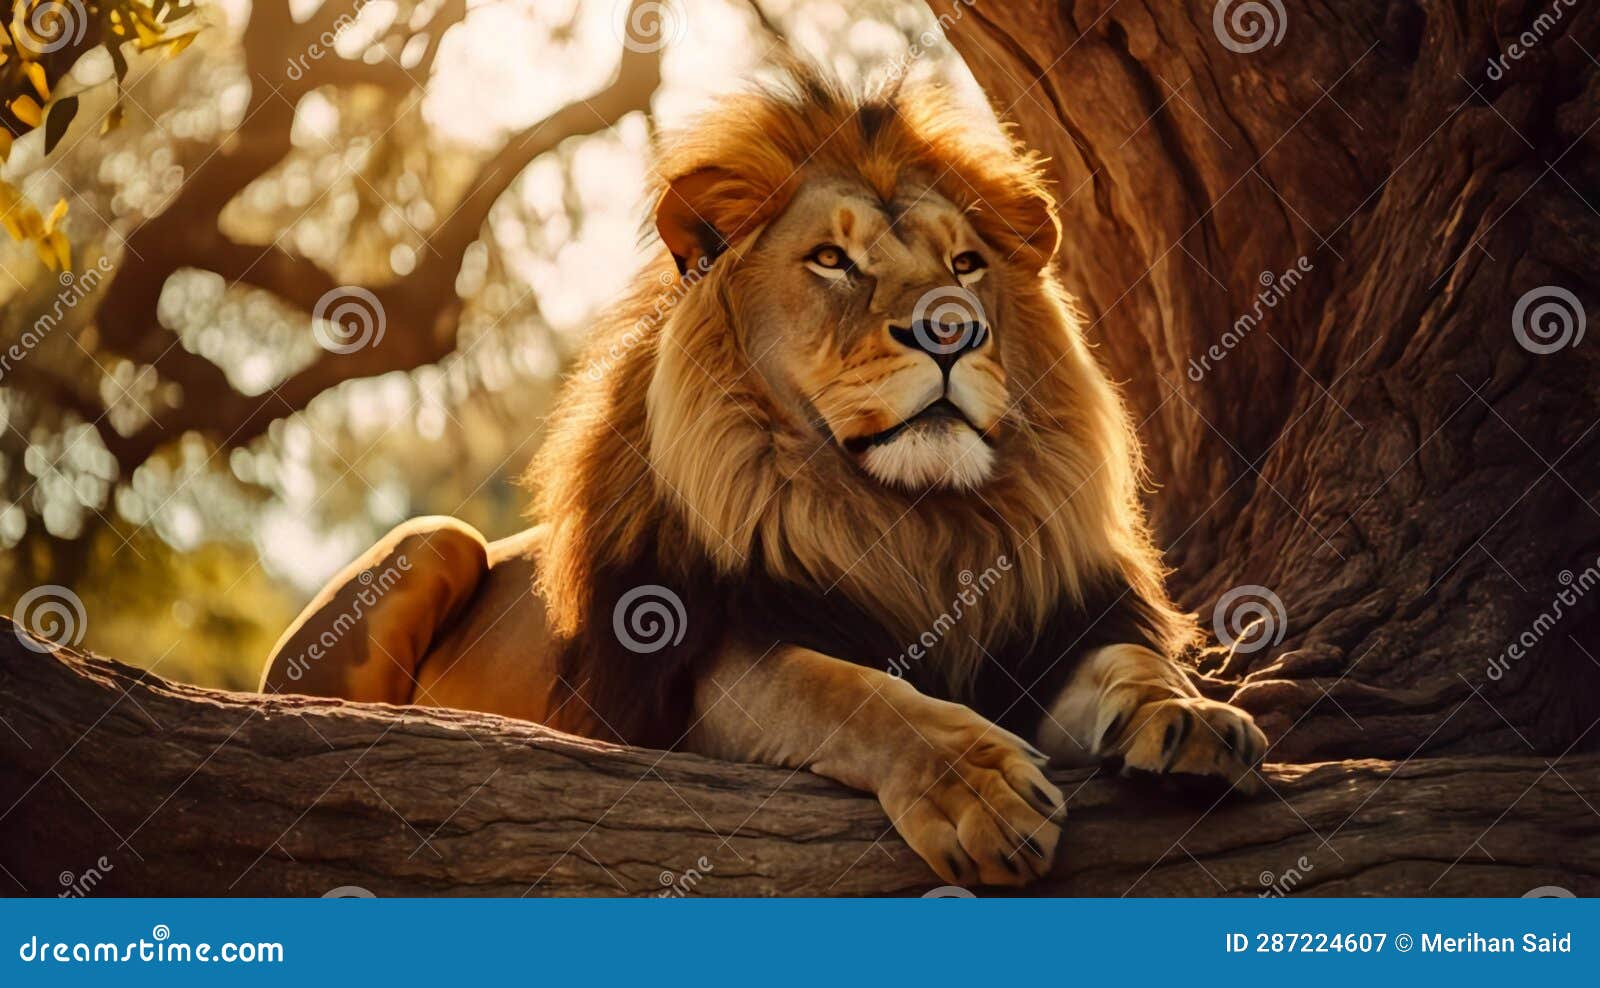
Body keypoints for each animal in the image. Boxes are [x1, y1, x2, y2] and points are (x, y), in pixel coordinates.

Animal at [263, 66, 1266, 888]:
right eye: (832, 259)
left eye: (966, 264)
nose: (954, 328)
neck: (911, 524)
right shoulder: (696, 678)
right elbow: (848, 691)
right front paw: (978, 787)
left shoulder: (1041, 633)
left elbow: (1130, 658)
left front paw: (1190, 714)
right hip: (436, 541)